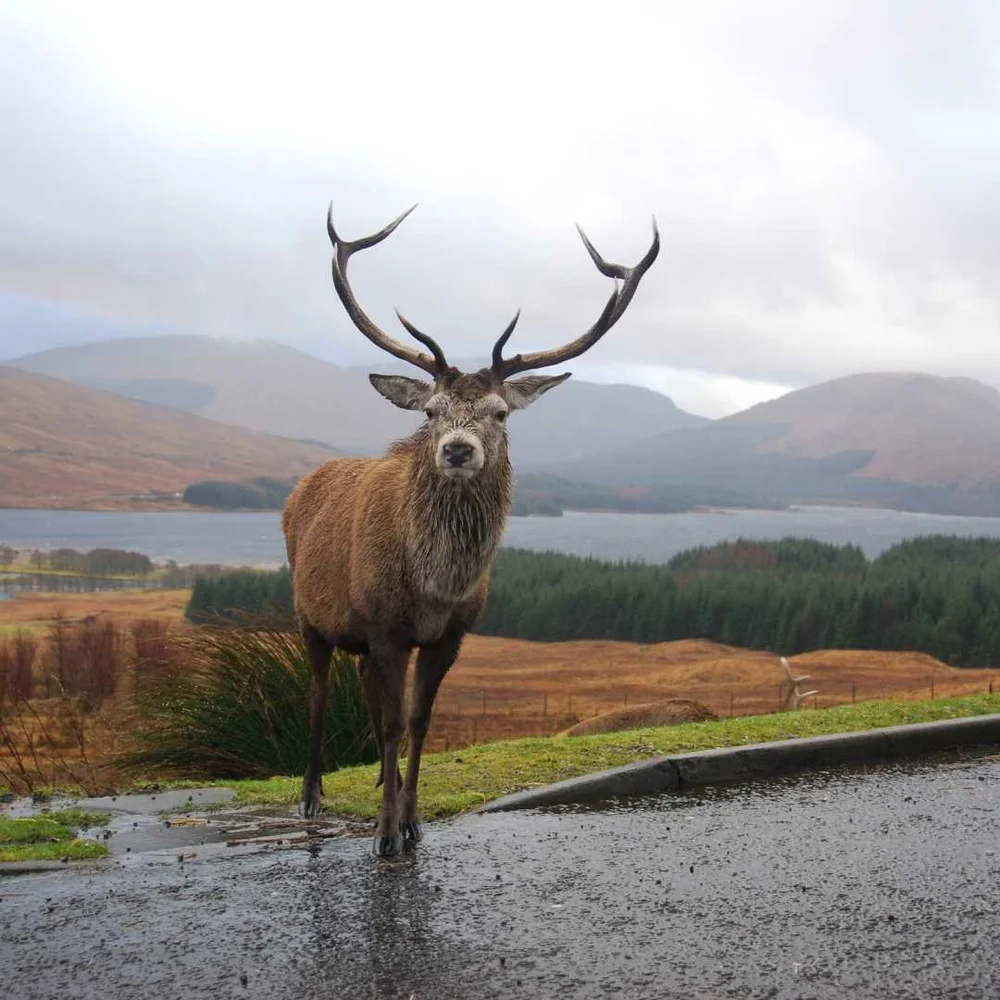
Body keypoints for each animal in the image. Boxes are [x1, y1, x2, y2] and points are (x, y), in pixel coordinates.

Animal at [282, 203, 659, 856]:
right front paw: (384, 834)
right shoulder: (384, 626)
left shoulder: (451, 635)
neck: (434, 587)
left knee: (365, 693)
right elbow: (391, 722)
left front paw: (410, 820)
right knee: (319, 693)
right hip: (310, 615)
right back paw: (311, 796)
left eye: (500, 413)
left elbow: (418, 721)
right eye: (432, 411)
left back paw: (381, 781)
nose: (458, 449)